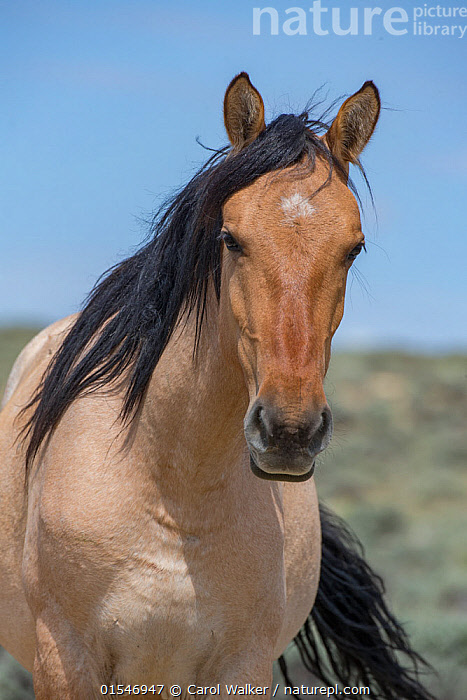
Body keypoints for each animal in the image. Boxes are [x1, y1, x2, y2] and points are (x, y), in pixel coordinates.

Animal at [0, 73, 434, 700]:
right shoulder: (65, 659)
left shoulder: (240, 669)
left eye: (354, 248)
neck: (176, 492)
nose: (289, 430)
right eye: (230, 238)